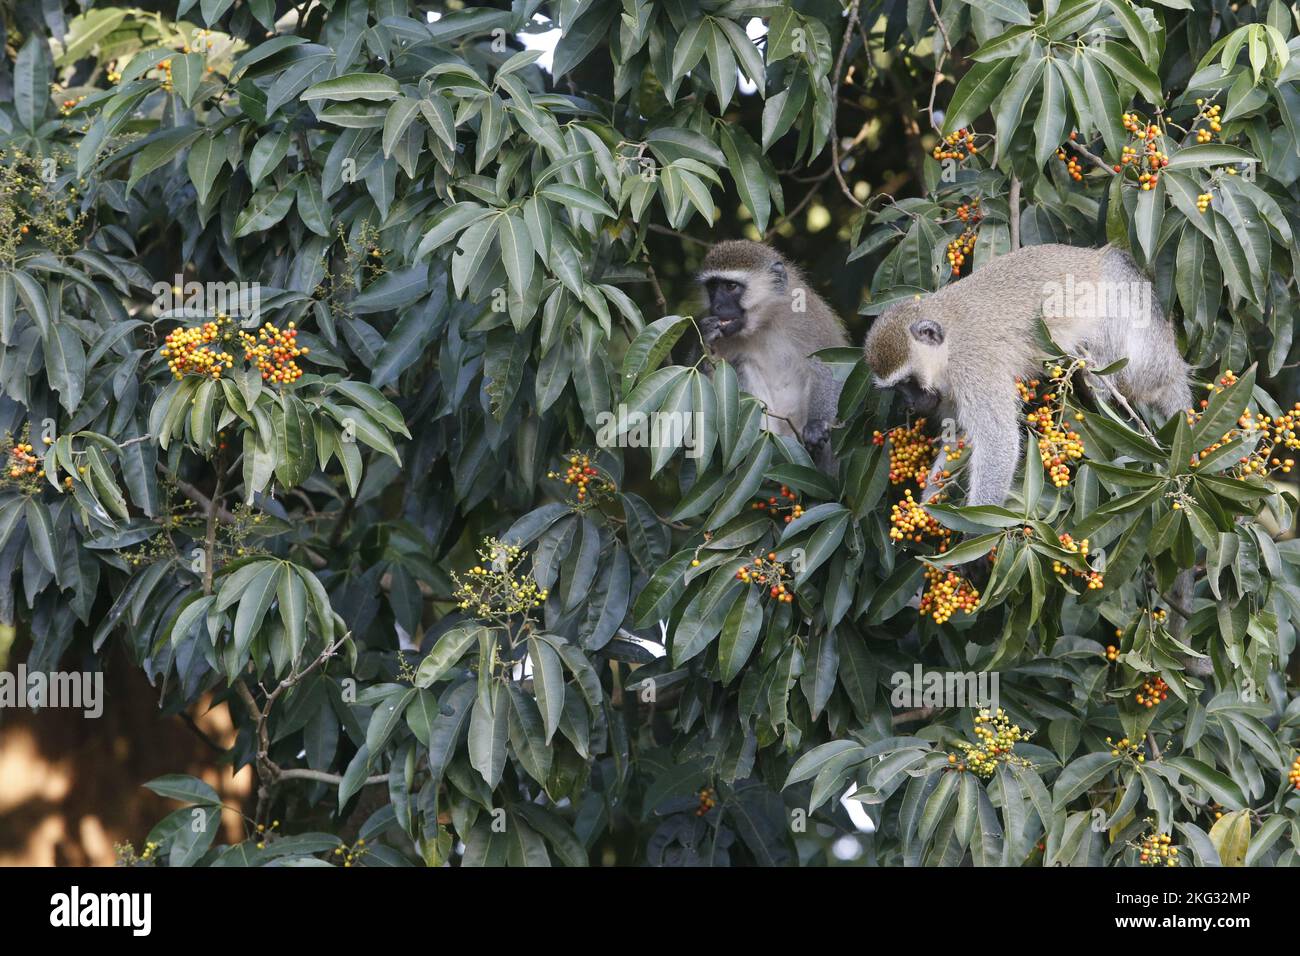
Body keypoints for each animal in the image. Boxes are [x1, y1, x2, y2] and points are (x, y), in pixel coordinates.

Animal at [696, 240, 850, 470]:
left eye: (731, 286)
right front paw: (706, 336)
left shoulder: (808, 317)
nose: (716, 306)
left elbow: (828, 368)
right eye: (713, 287)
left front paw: (816, 426)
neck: (764, 322)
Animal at [863, 243, 1192, 508]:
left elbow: (998, 441)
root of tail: (1172, 368)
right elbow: (959, 438)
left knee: (1116, 279)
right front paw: (929, 505)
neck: (949, 344)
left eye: (908, 383)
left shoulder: (973, 367)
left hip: (1145, 358)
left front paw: (976, 530)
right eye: (897, 389)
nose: (909, 404)